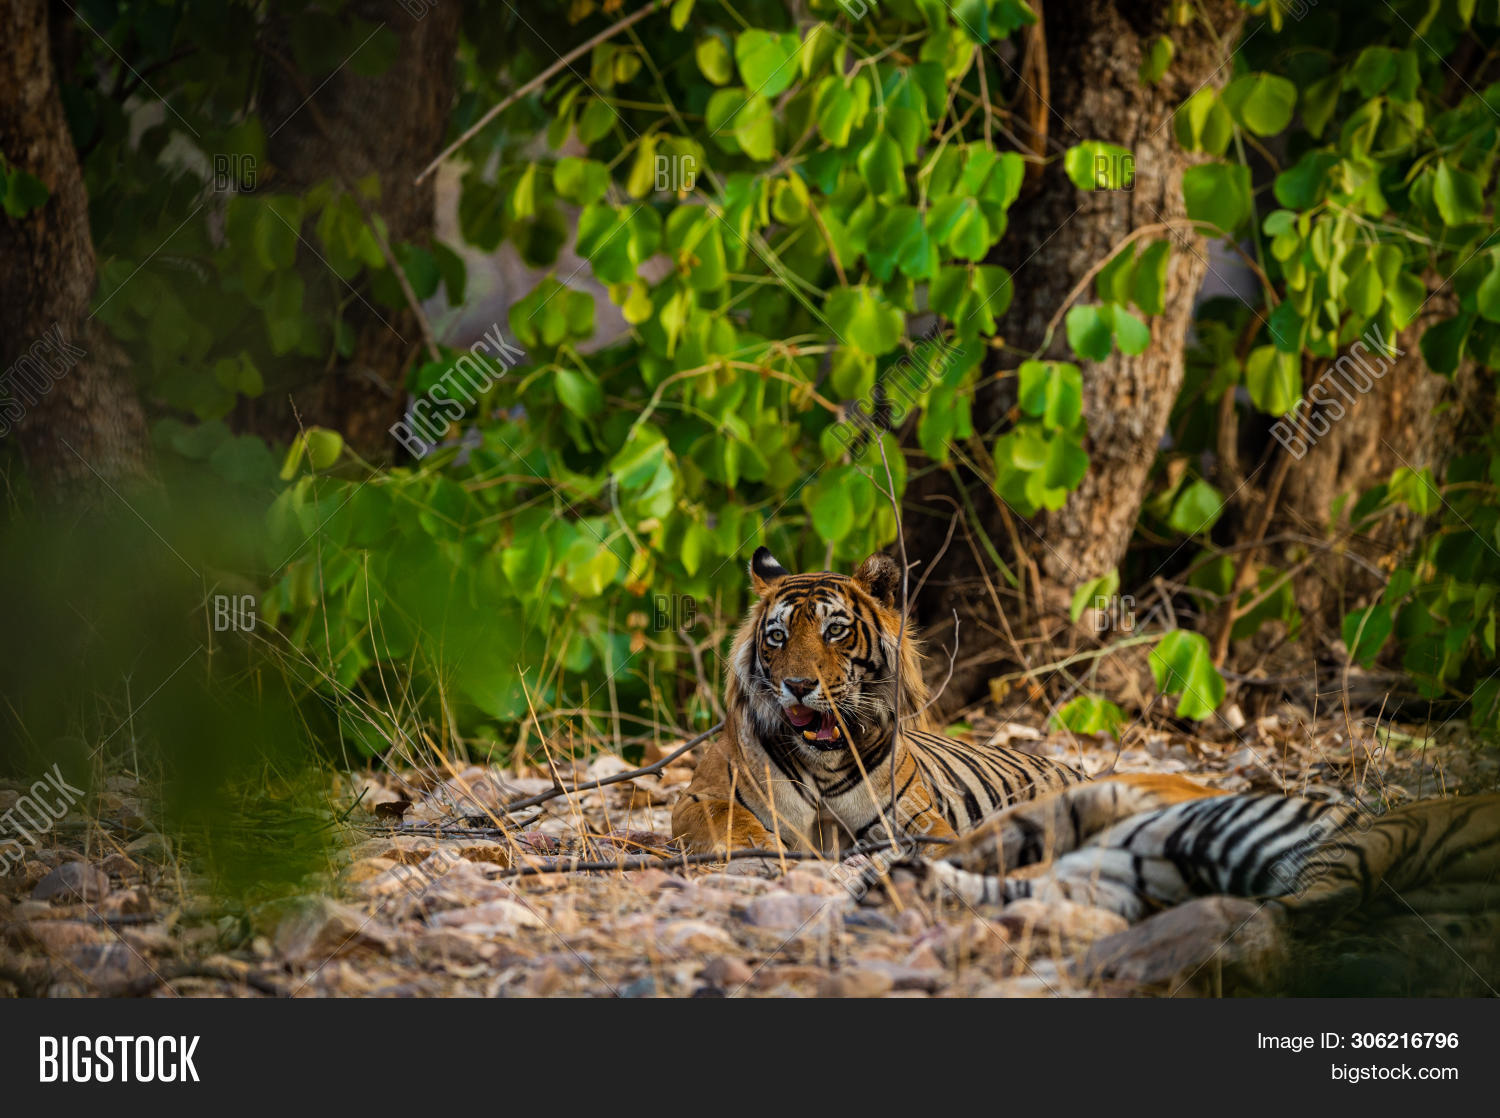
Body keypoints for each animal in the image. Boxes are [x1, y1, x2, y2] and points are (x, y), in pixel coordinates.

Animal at [671, 546, 1084, 854]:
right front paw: (759, 846)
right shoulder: (696, 796)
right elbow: (727, 817)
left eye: (835, 630)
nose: (798, 685)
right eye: (777, 636)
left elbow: (939, 840)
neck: (823, 763)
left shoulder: (911, 813)